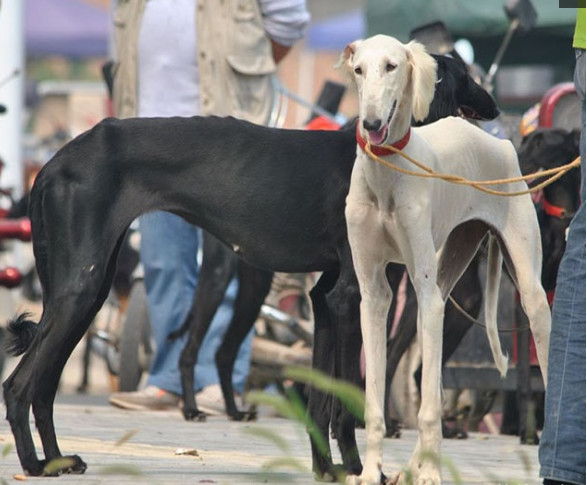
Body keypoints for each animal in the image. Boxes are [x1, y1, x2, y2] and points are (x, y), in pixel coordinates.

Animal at [4, 54, 498, 478]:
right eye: (466, 75)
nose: (495, 108)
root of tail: (51, 163)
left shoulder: (324, 299)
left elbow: (320, 400)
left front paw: (326, 468)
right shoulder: (352, 295)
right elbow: (345, 401)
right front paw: (358, 469)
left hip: (88, 290)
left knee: (44, 386)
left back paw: (55, 460)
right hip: (80, 290)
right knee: (20, 385)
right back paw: (32, 465)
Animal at [340, 35, 552, 484]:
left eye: (391, 66)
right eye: (358, 70)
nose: (370, 124)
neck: (389, 173)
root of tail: (502, 142)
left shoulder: (425, 294)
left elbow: (429, 408)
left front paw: (432, 474)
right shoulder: (374, 294)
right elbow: (375, 398)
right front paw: (371, 473)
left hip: (528, 292)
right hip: (448, 266)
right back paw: (410, 467)